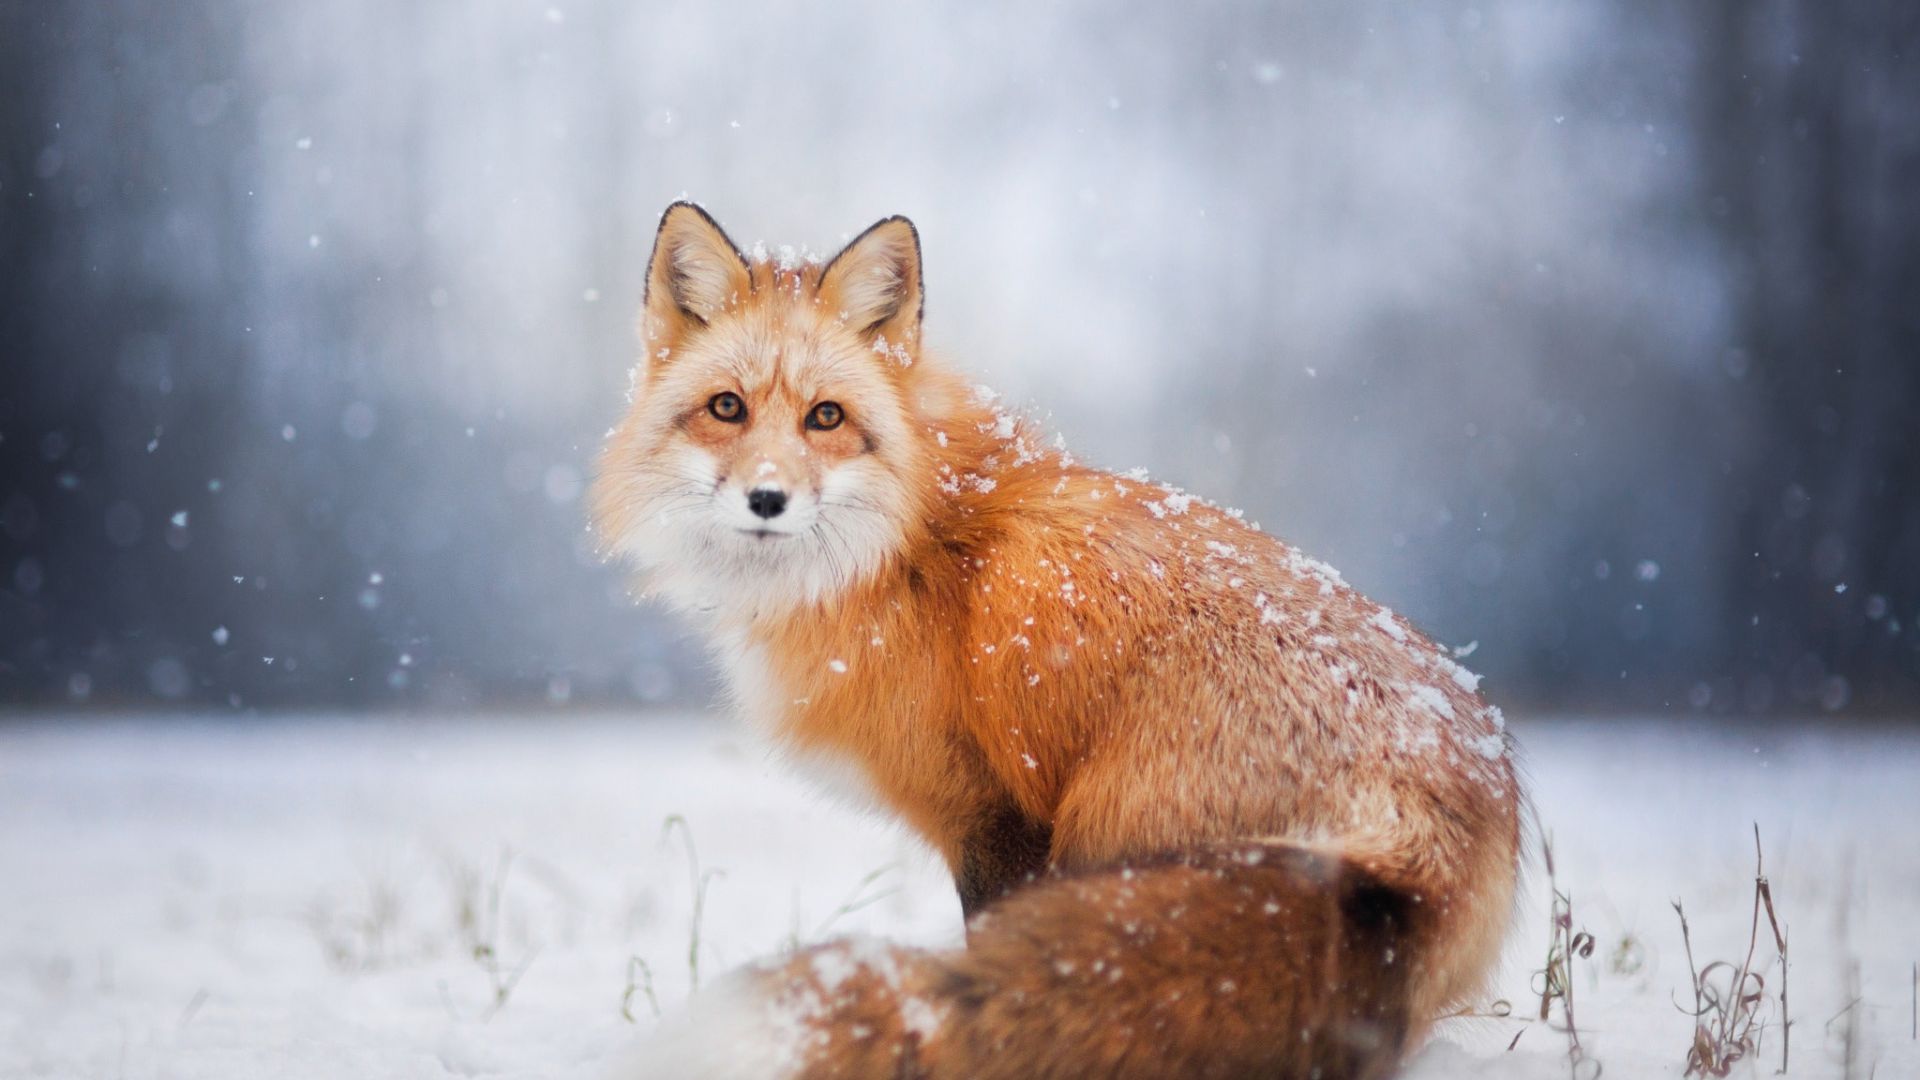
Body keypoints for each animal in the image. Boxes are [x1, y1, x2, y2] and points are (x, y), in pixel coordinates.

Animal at [590, 202, 1523, 1079]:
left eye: (826, 417)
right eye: (727, 408)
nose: (768, 499)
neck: (913, 543)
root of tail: (1430, 835)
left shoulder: (994, 816)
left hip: (1107, 836)